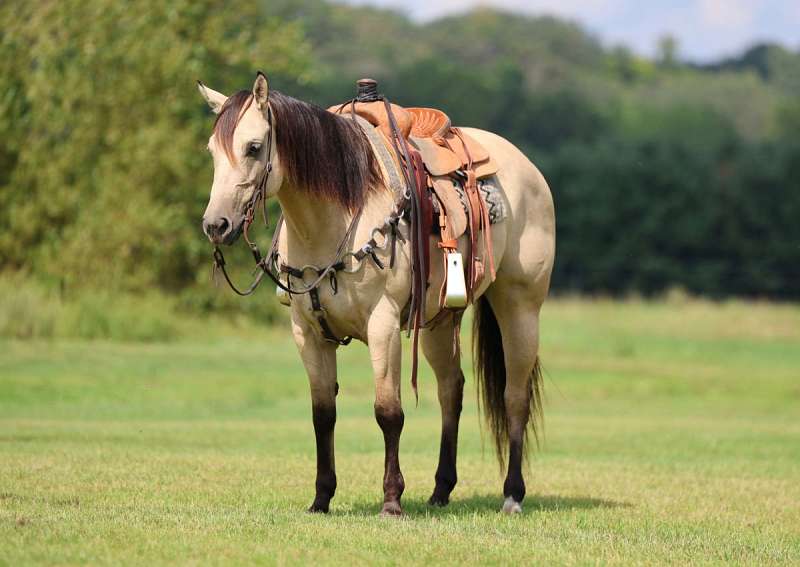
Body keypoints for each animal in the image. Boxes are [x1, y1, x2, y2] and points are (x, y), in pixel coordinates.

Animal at [197, 72, 555, 516]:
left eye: (253, 147)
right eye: (212, 150)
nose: (216, 224)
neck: (336, 216)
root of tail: (526, 167)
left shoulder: (382, 325)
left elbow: (388, 412)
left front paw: (391, 500)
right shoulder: (307, 332)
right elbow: (323, 414)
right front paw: (321, 498)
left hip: (520, 306)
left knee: (514, 397)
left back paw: (512, 494)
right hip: (438, 322)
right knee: (451, 391)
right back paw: (441, 490)